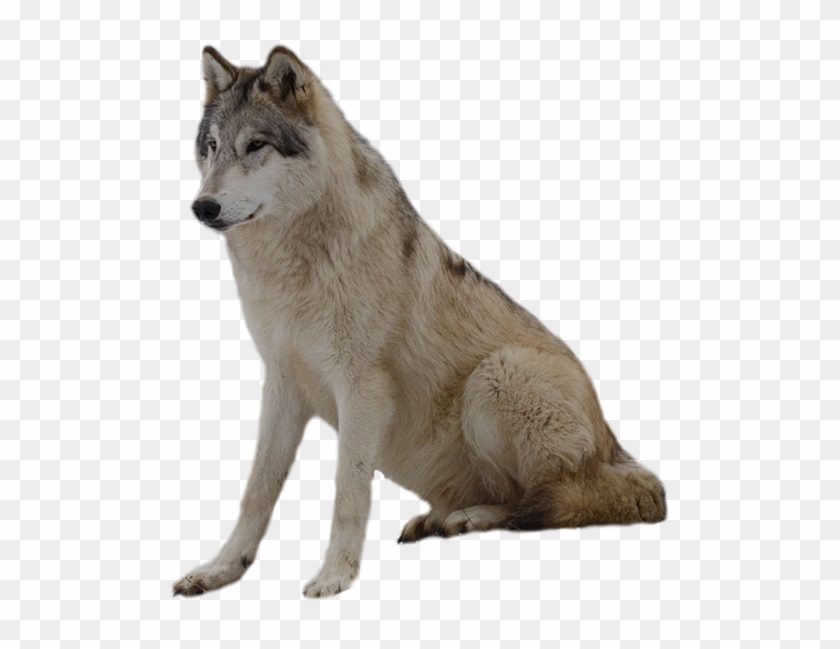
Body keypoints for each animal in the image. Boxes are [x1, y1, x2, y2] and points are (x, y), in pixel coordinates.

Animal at [172, 46, 666, 599]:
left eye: (255, 145)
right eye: (212, 147)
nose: (202, 207)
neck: (294, 265)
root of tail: (618, 449)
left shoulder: (362, 389)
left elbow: (347, 491)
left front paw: (334, 576)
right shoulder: (282, 385)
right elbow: (256, 491)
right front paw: (221, 570)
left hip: (498, 376)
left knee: (552, 502)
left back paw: (469, 518)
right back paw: (439, 520)